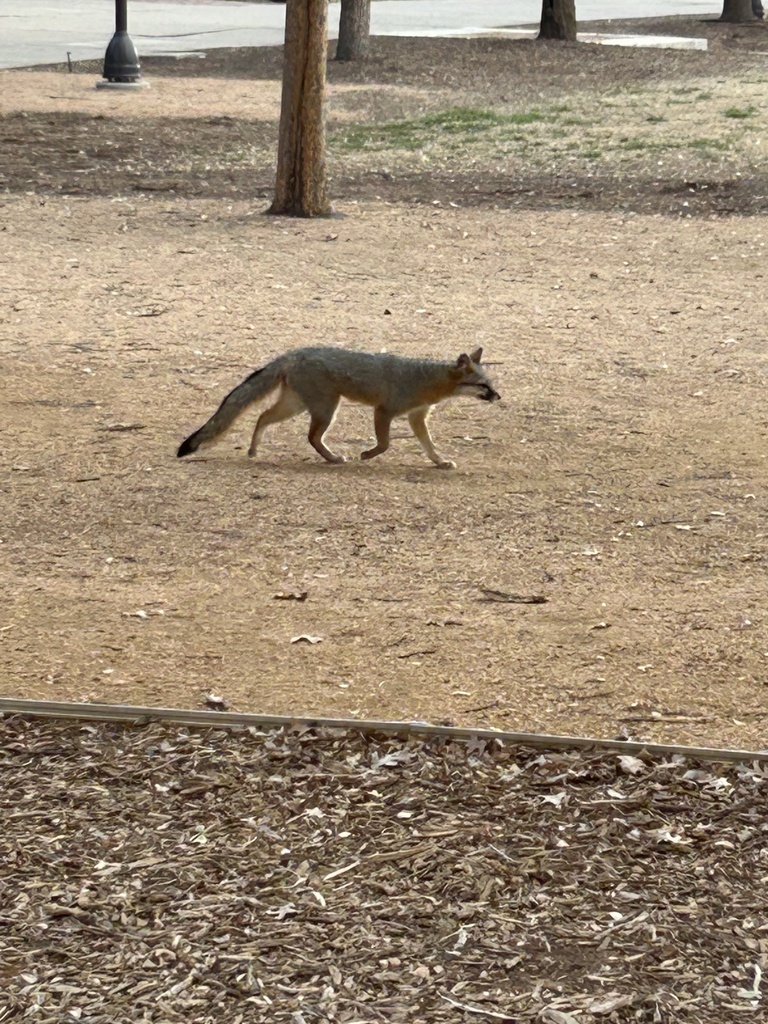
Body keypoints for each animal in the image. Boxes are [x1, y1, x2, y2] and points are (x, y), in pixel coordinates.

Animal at [177, 346, 500, 469]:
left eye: (490, 383)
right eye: (482, 386)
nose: (498, 396)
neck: (424, 378)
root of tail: (294, 352)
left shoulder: (416, 417)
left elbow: (429, 445)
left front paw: (440, 461)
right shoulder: (384, 410)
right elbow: (385, 444)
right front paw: (367, 455)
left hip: (296, 406)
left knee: (262, 416)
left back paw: (254, 450)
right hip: (326, 409)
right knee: (311, 437)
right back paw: (332, 458)